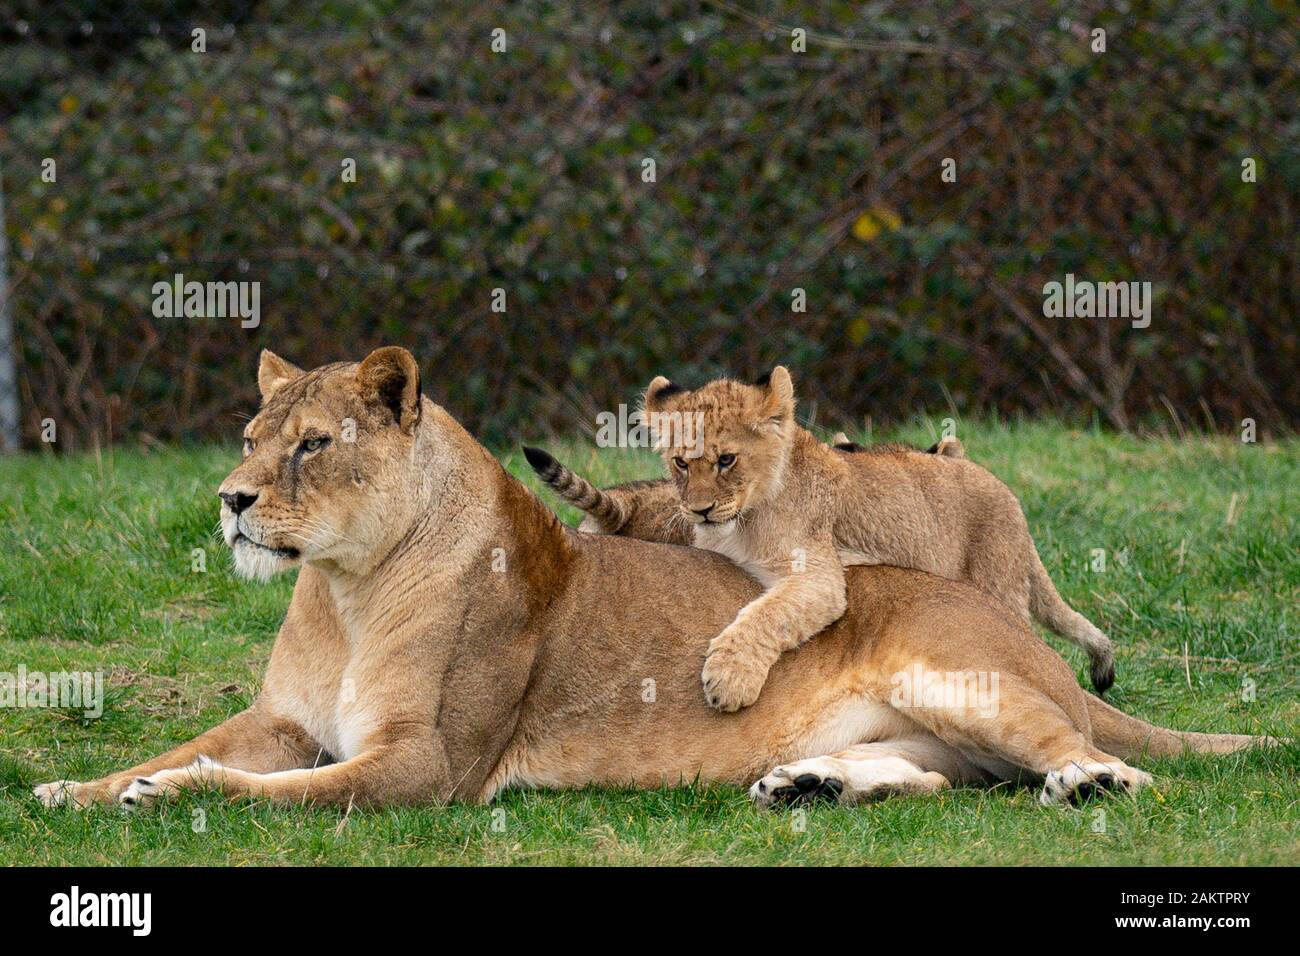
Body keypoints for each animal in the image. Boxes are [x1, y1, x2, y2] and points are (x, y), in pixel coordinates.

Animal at [525, 367, 1115, 712]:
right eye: (680, 463)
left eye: (726, 460)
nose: (697, 509)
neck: (745, 518)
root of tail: (999, 486)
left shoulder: (820, 576)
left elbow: (767, 614)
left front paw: (728, 680)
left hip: (1001, 586)